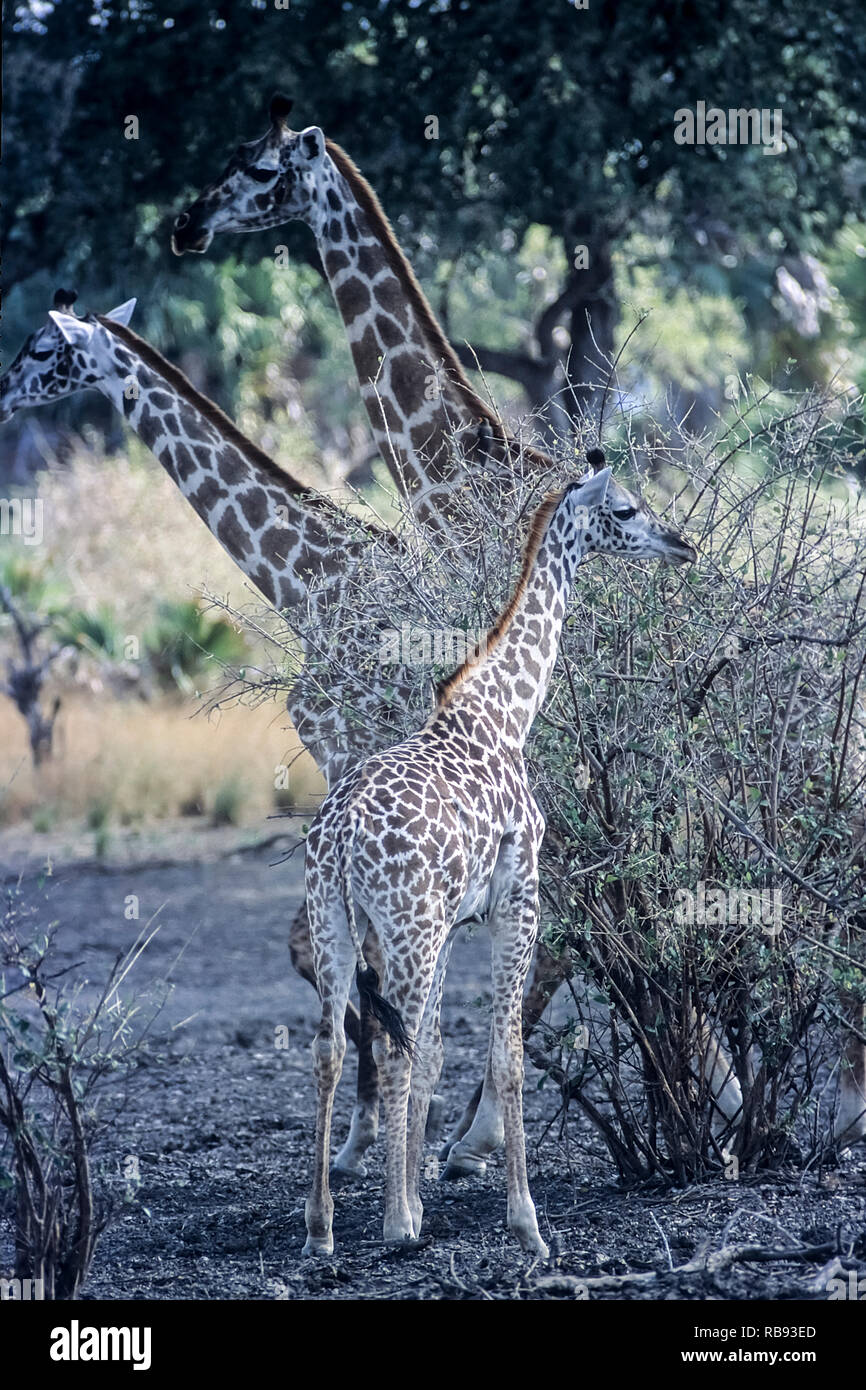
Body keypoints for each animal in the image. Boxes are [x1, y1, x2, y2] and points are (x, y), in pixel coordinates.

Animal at [301, 465, 697, 1255]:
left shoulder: (456, 923)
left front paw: (423, 1197)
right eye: (625, 509)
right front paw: (524, 1221)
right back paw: (392, 1227)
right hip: (407, 926)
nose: (679, 543)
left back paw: (323, 1226)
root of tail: (342, 837)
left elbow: (435, 1053)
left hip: (340, 920)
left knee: (334, 1047)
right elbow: (504, 1054)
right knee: (391, 1048)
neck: (506, 713)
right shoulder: (519, 897)